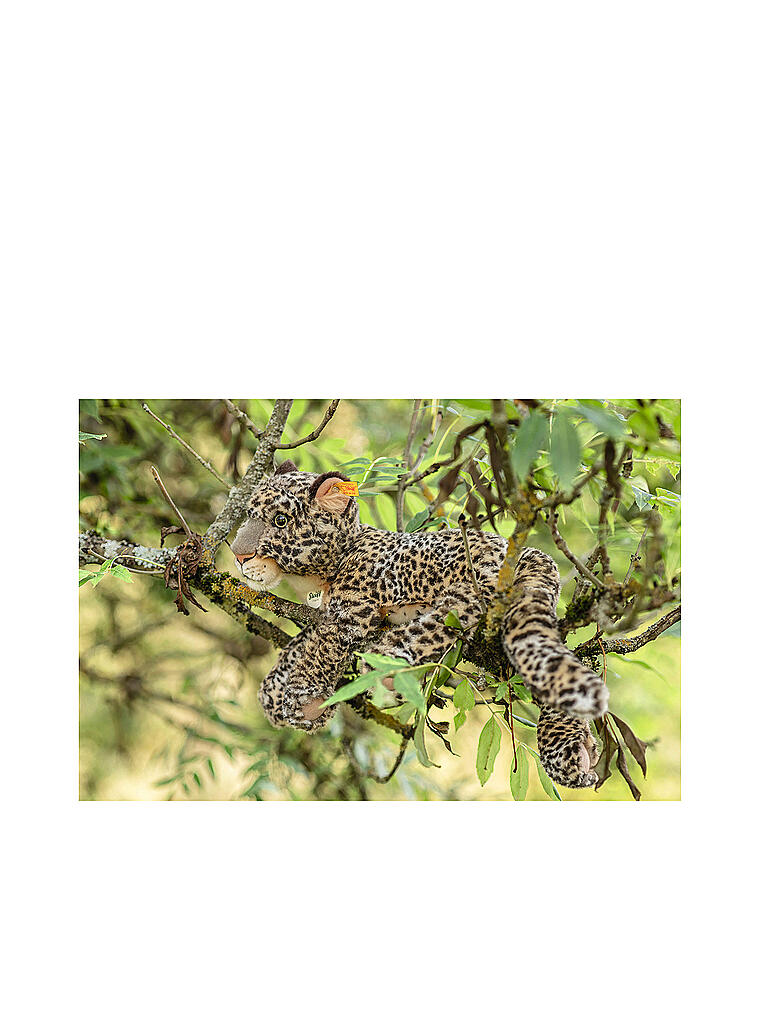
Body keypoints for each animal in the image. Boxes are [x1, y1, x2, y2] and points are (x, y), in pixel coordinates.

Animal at [230, 459, 608, 789]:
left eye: (280, 521)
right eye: (248, 514)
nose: (237, 554)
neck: (317, 579)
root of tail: (532, 553)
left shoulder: (352, 609)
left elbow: (321, 645)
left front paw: (303, 699)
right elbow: (301, 642)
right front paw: (274, 691)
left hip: (467, 580)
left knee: (455, 612)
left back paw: (388, 666)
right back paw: (579, 751)